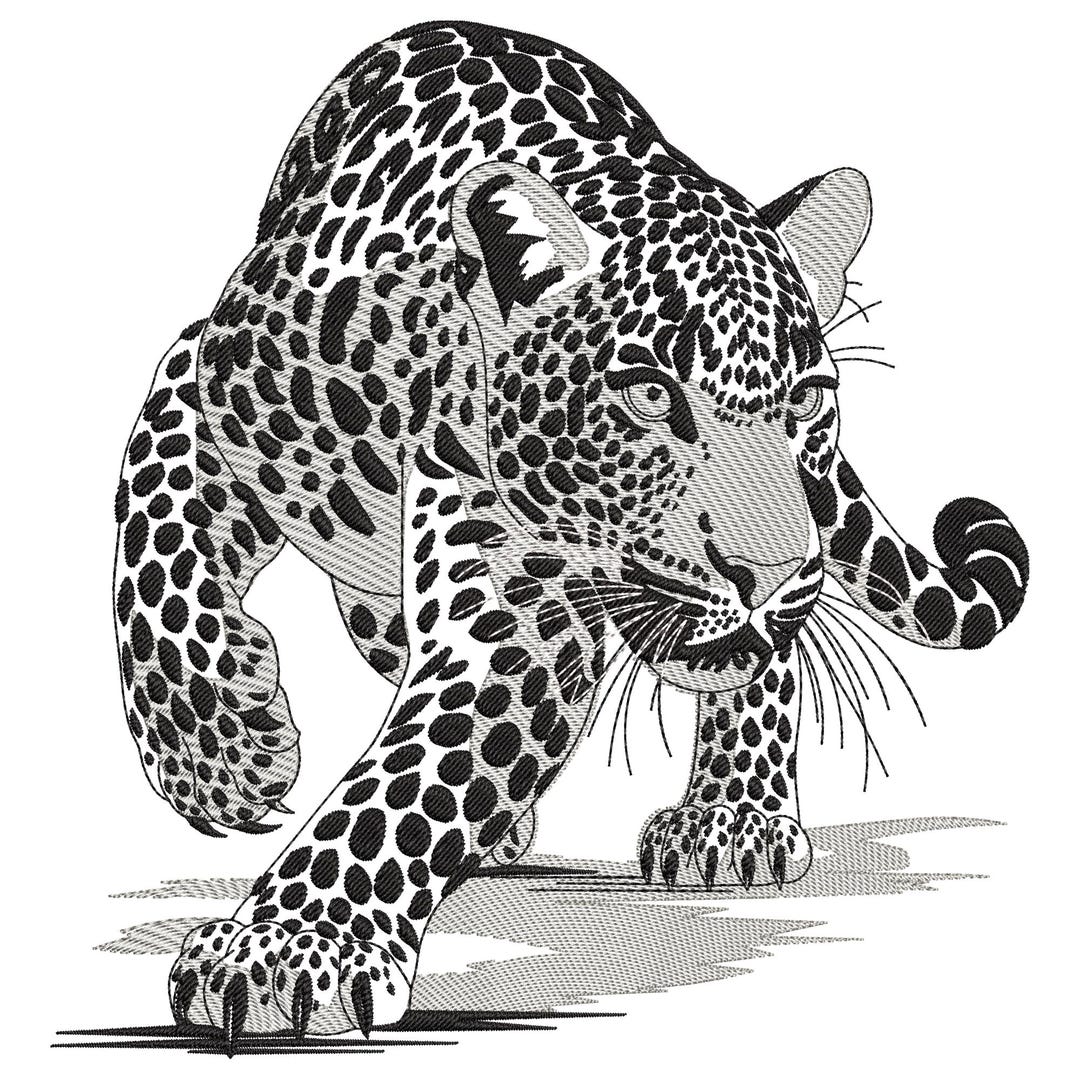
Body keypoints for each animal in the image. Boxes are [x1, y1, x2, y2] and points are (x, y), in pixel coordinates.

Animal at [112, 20, 1029, 1042]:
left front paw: (288, 946)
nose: (770, 571)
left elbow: (410, 778)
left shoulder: (526, 611)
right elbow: (152, 545)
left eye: (804, 402)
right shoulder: (203, 374)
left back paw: (733, 818)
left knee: (762, 669)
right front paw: (221, 757)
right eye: (648, 395)